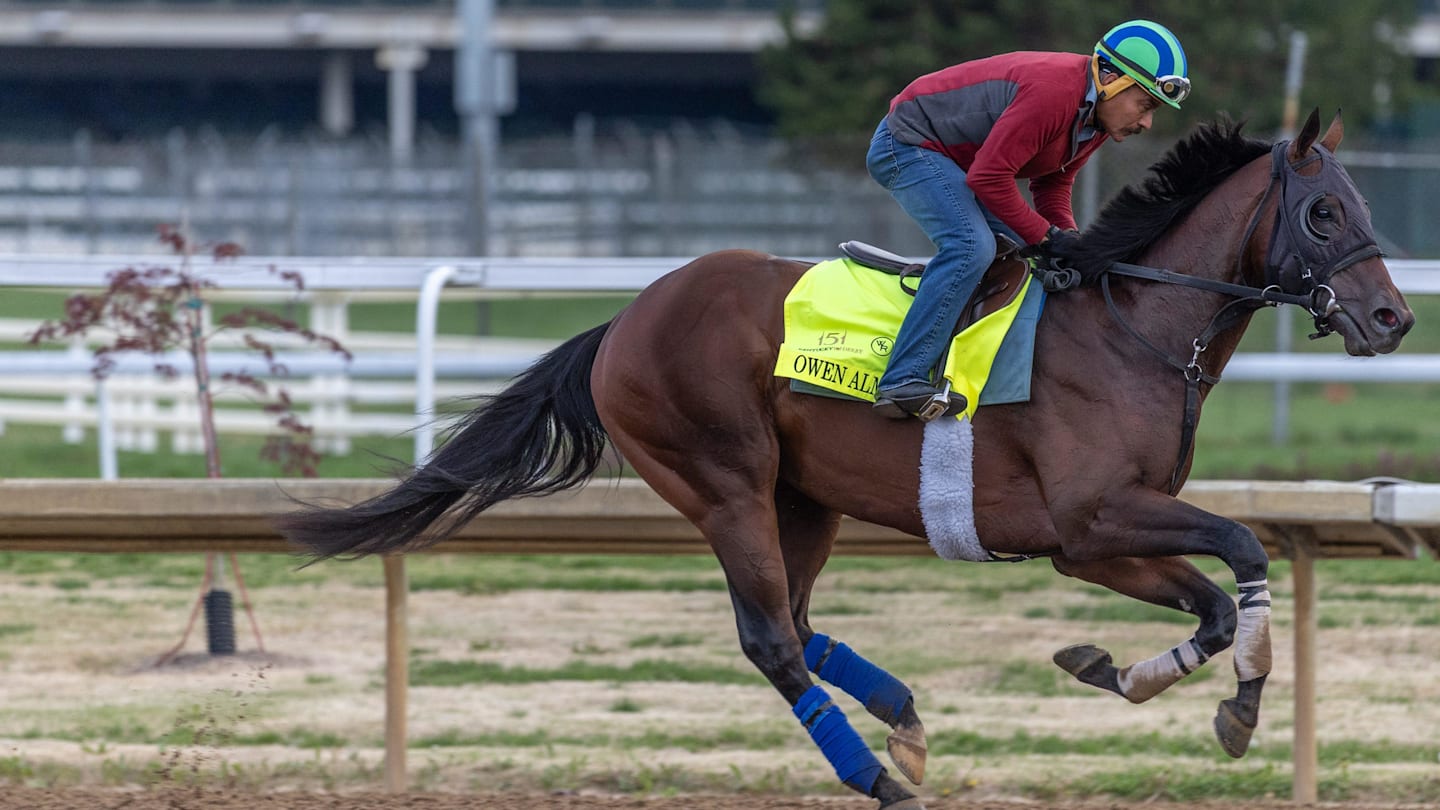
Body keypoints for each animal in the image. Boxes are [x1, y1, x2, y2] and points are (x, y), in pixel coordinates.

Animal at [275, 110, 1413, 809]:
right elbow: (1245, 550)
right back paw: (881, 778)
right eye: (1323, 213)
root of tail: (625, 320)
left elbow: (1220, 598)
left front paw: (1133, 675)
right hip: (723, 483)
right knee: (771, 640)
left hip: (803, 499)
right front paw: (1232, 701)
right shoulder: (1093, 520)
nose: (1392, 319)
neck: (1129, 324)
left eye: (1364, 207)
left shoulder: (1094, 542)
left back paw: (903, 719)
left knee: (797, 620)